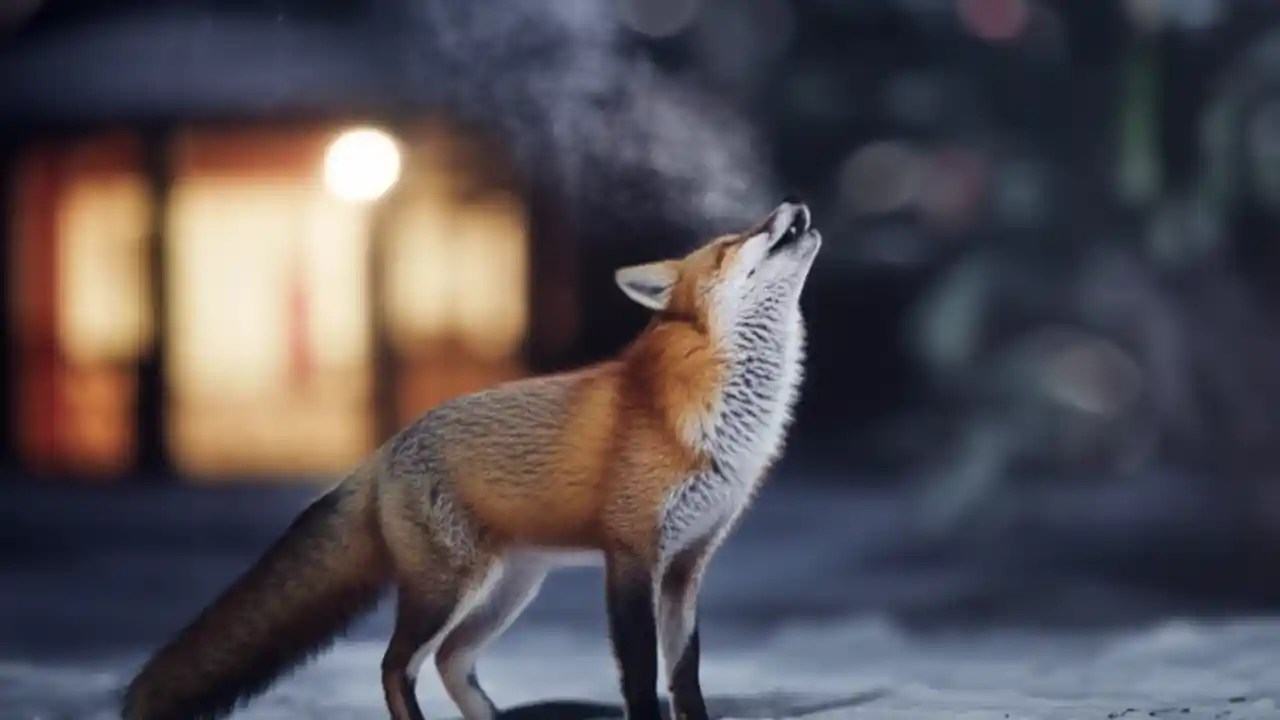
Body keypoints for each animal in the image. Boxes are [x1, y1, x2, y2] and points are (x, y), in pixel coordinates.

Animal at [121, 199, 821, 720]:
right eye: (733, 244)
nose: (793, 204)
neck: (718, 417)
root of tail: (383, 450)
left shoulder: (686, 566)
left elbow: (686, 679)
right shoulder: (631, 557)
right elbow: (642, 680)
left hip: (508, 588)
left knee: (450, 661)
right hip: (448, 587)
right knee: (396, 665)